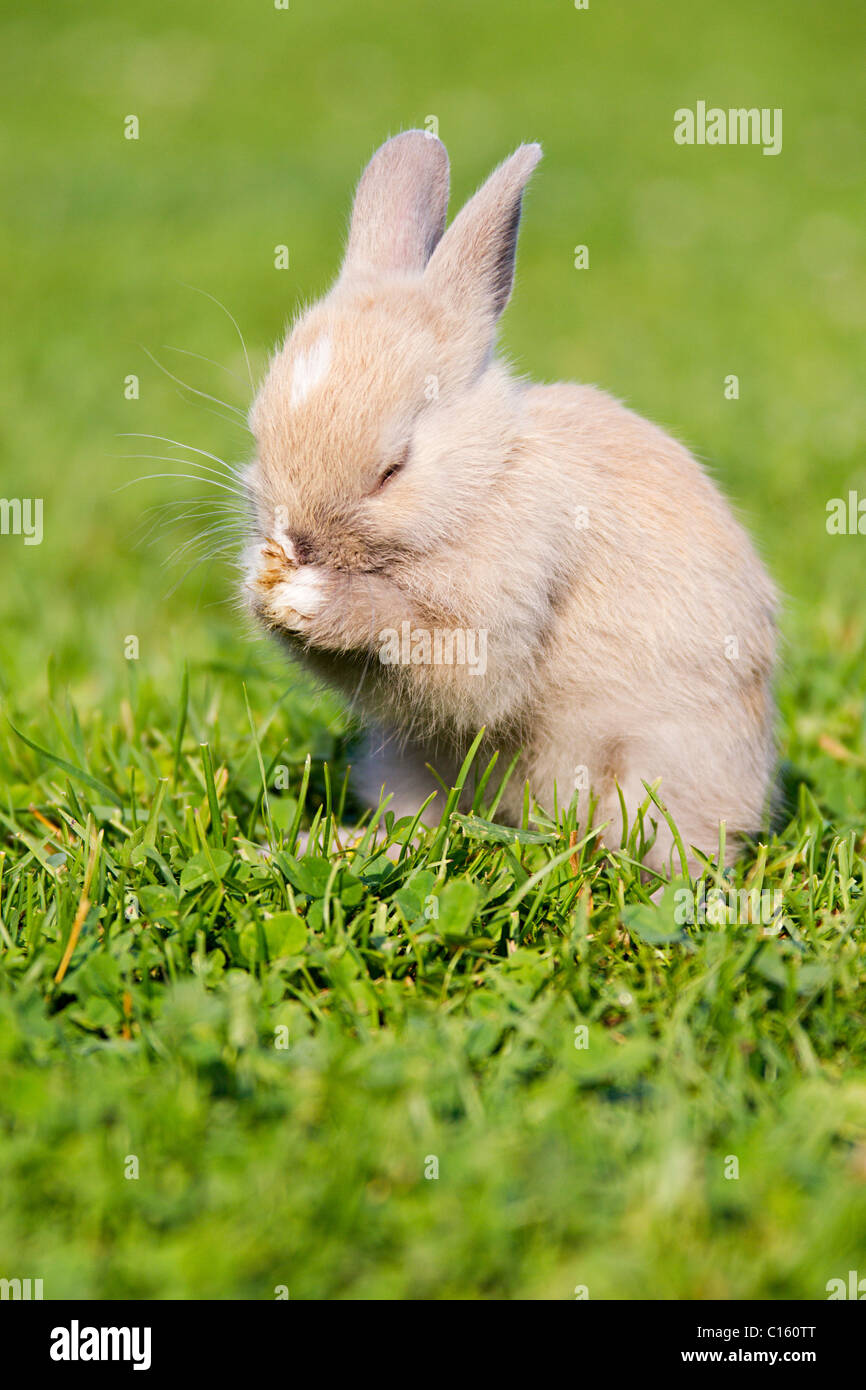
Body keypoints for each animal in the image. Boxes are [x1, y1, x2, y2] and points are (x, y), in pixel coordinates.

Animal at [243, 130, 777, 875]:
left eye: (392, 469)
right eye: (257, 434)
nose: (297, 543)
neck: (485, 477)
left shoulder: (512, 593)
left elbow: (457, 662)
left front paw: (314, 599)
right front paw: (263, 587)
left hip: (661, 767)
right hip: (404, 763)